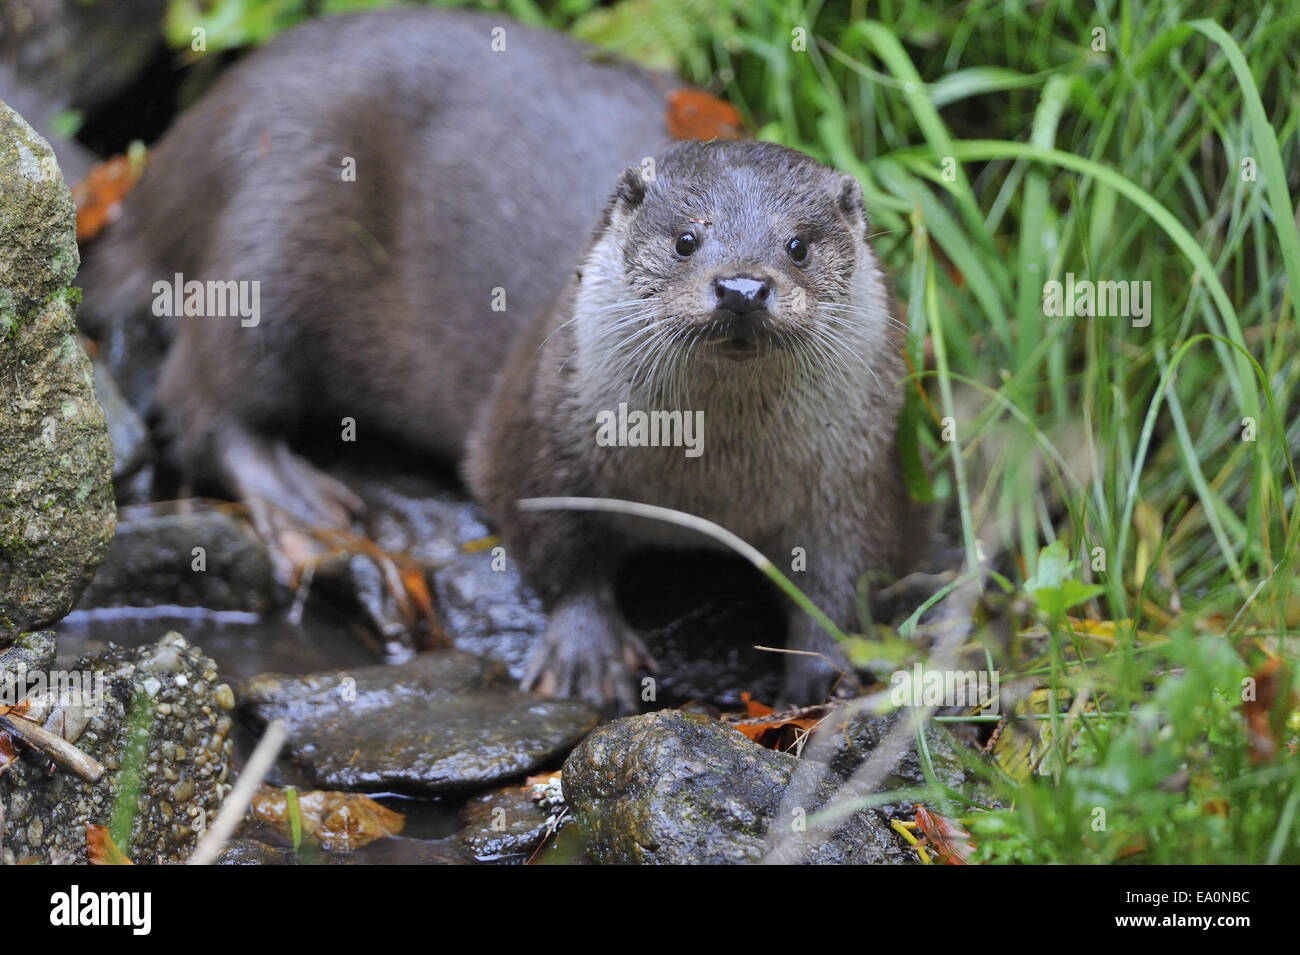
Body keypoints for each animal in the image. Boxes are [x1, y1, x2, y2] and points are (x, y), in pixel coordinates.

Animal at [79, 8, 914, 708]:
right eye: (686, 239)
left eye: (798, 245)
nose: (742, 285)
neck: (709, 481)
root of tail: (181, 151)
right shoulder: (536, 426)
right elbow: (549, 539)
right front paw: (587, 649)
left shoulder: (856, 479)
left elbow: (845, 576)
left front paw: (827, 676)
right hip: (269, 236)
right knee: (200, 397)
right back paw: (299, 504)